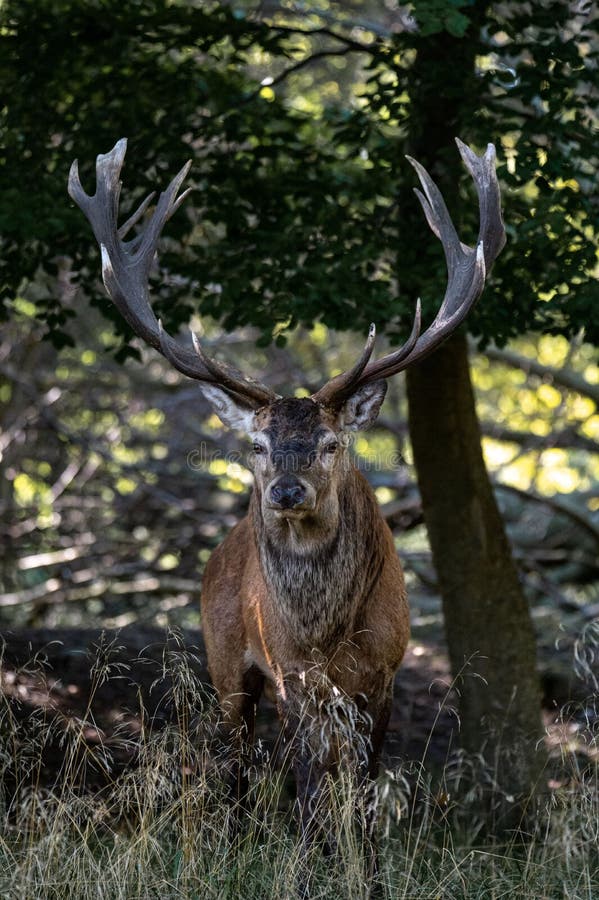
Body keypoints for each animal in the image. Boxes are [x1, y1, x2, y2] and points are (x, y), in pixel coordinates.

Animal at [68, 137, 505, 892]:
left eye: (330, 442)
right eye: (259, 443)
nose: (286, 492)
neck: (326, 633)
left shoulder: (383, 673)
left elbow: (363, 788)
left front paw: (369, 878)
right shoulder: (292, 672)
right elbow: (304, 785)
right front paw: (302, 875)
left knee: (320, 775)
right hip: (225, 663)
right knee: (242, 769)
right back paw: (234, 850)